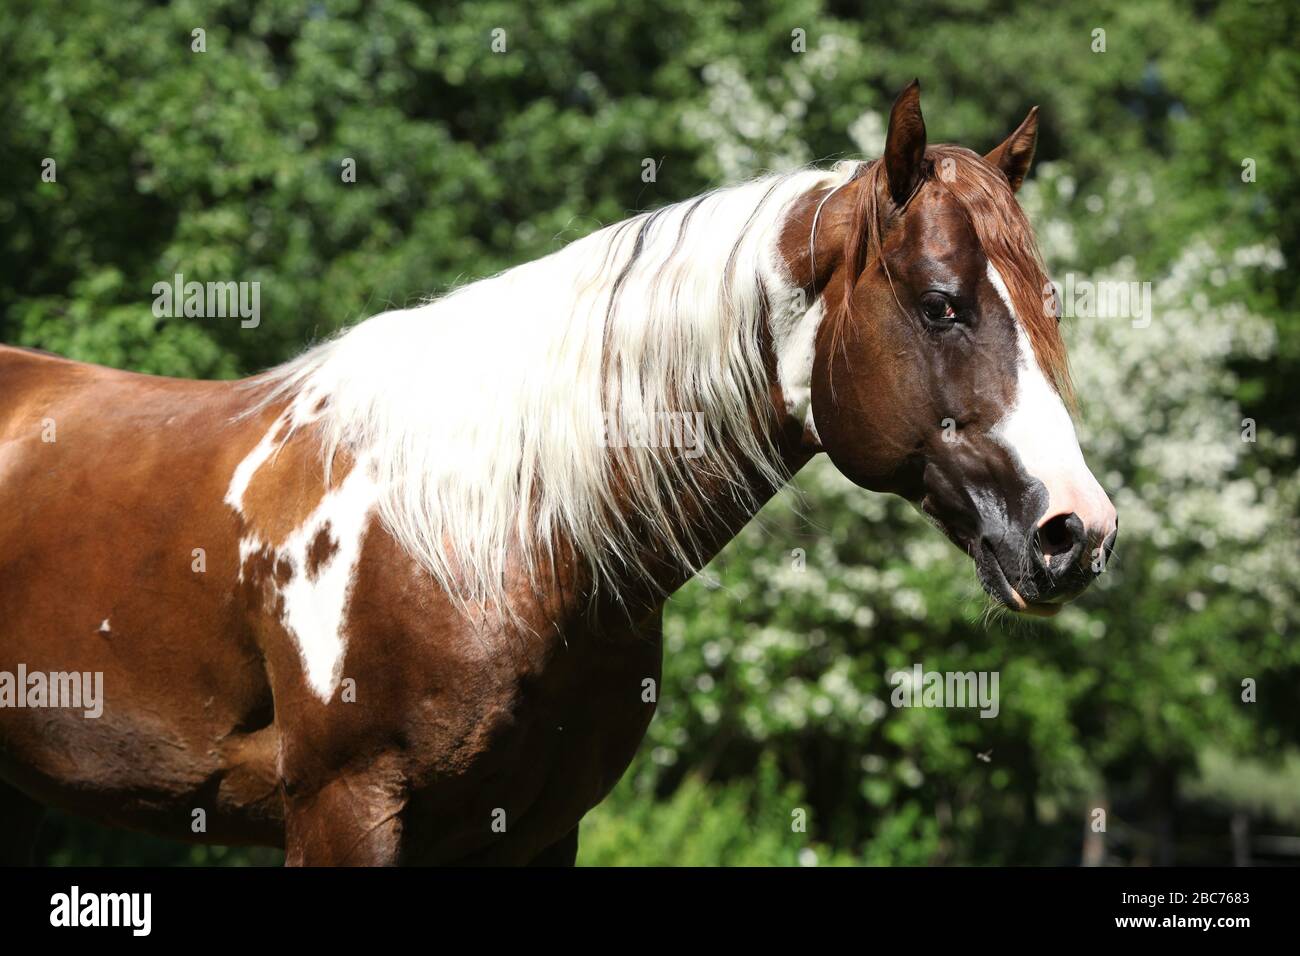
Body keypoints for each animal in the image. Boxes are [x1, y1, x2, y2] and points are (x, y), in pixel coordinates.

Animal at [0, 82, 1117, 865]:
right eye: (940, 305)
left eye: (1047, 306)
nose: (1076, 532)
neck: (487, 538)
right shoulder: (341, 809)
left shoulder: (535, 830)